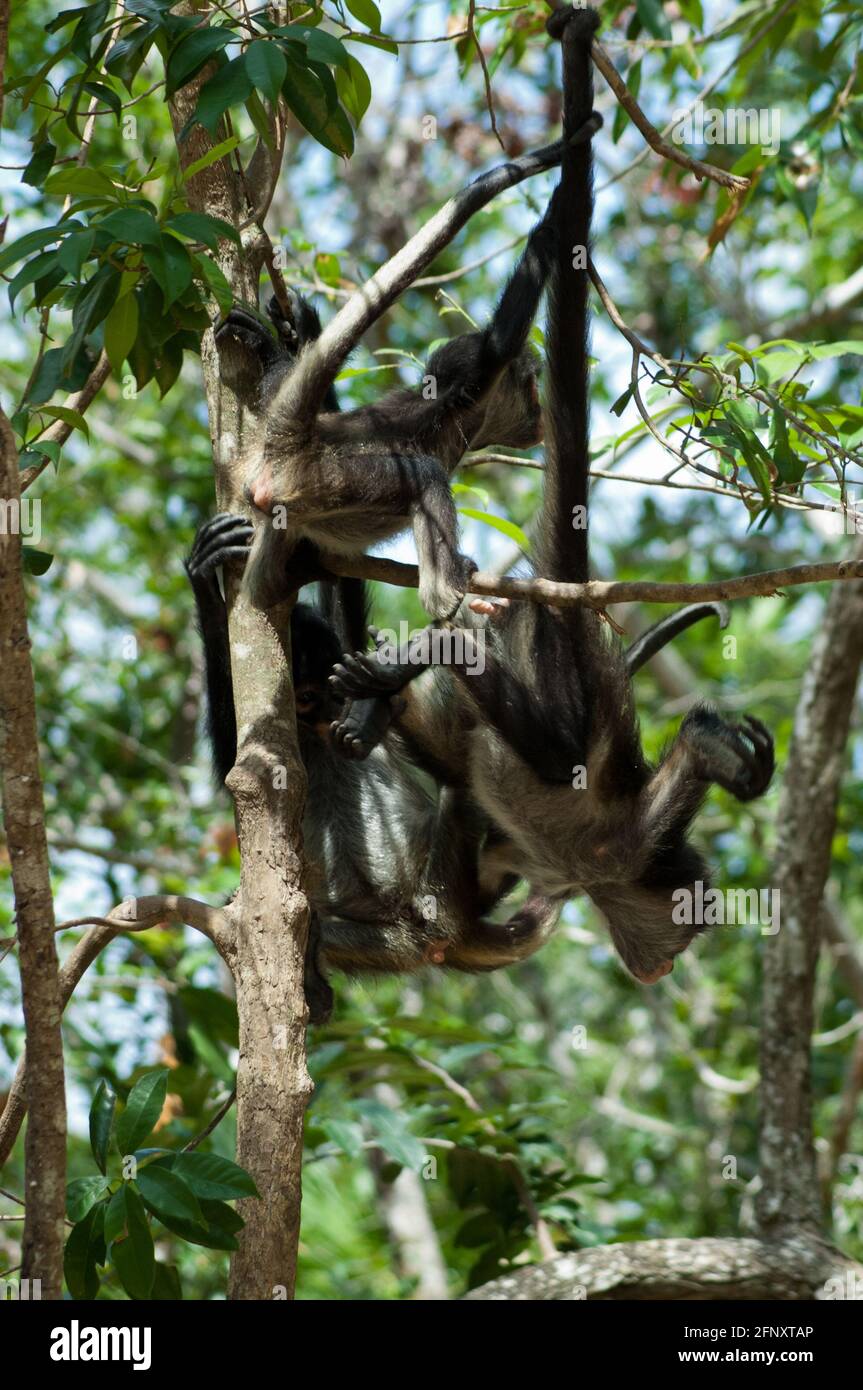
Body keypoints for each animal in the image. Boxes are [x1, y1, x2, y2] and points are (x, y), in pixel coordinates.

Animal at [327, 6, 775, 987]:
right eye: (692, 921)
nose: (673, 959)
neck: (606, 872)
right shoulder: (619, 828)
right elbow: (700, 746)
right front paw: (733, 757)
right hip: (571, 732)